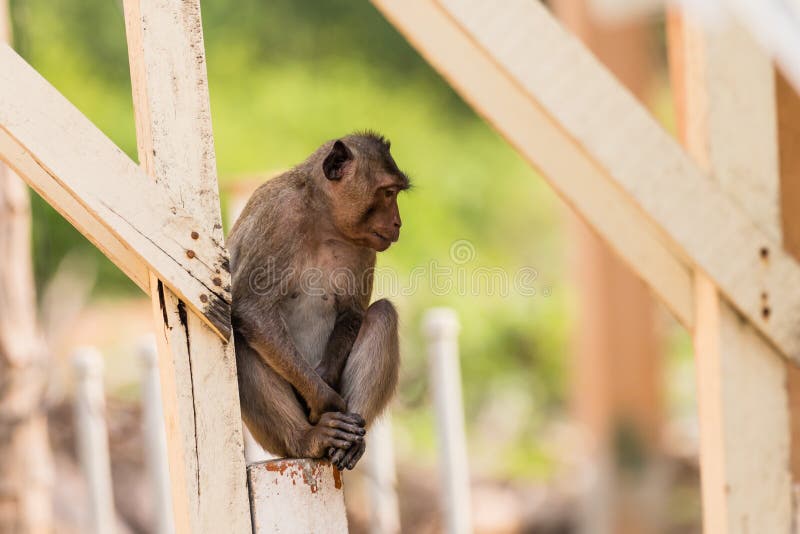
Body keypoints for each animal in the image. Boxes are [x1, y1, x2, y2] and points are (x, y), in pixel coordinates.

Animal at [228, 132, 409, 471]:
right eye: (388, 192)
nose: (397, 223)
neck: (323, 219)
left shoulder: (365, 246)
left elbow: (352, 312)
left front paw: (327, 384)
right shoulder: (279, 217)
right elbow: (253, 311)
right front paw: (327, 402)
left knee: (382, 315)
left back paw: (351, 440)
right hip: (269, 438)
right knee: (241, 336)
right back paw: (309, 438)